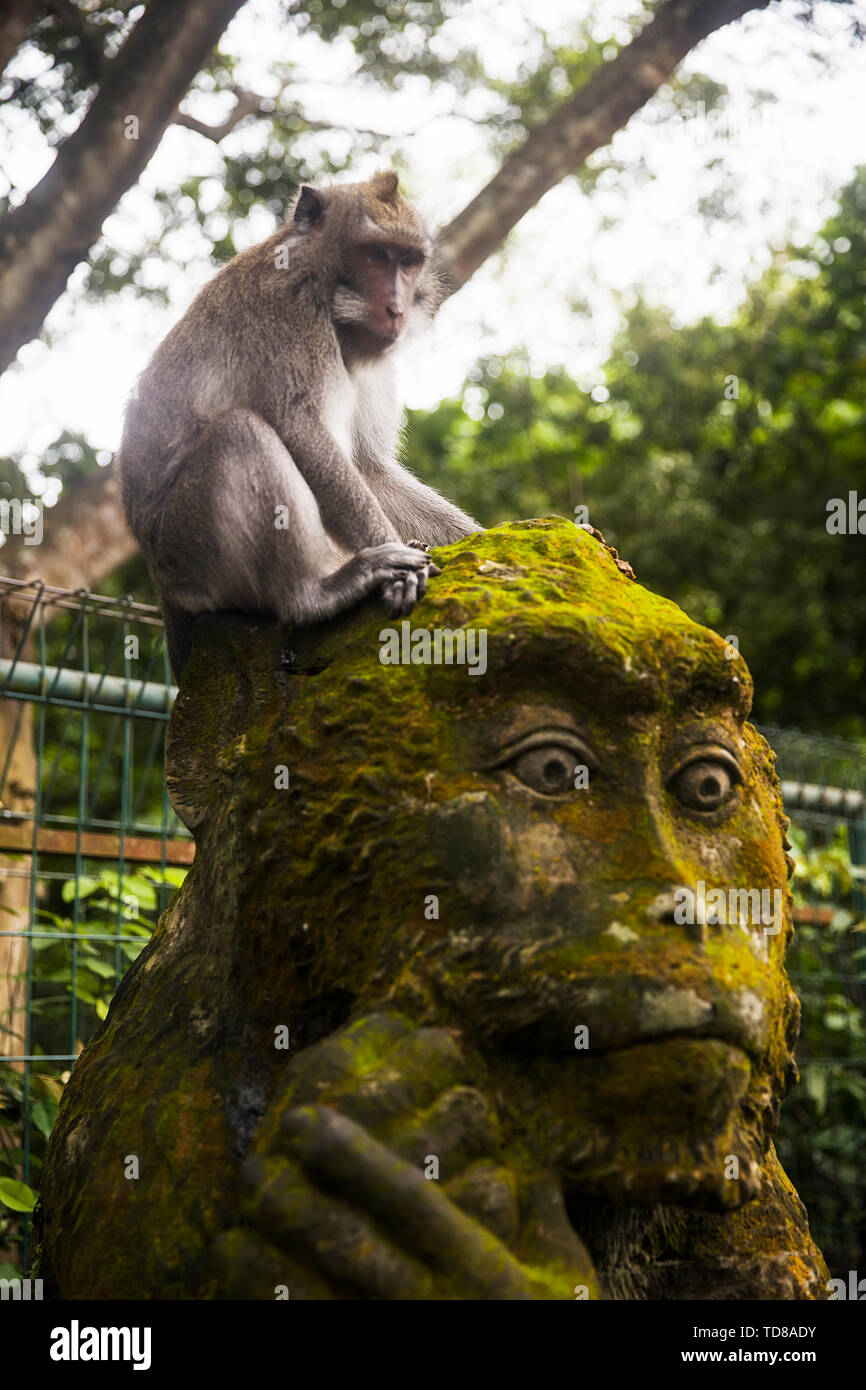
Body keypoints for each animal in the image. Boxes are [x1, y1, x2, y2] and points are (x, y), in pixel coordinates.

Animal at [119, 170, 481, 677]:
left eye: (408, 261)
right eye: (377, 255)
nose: (397, 308)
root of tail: (160, 582)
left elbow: (369, 468)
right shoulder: (286, 314)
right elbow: (301, 433)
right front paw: (404, 566)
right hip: (188, 555)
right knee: (240, 434)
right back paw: (316, 594)